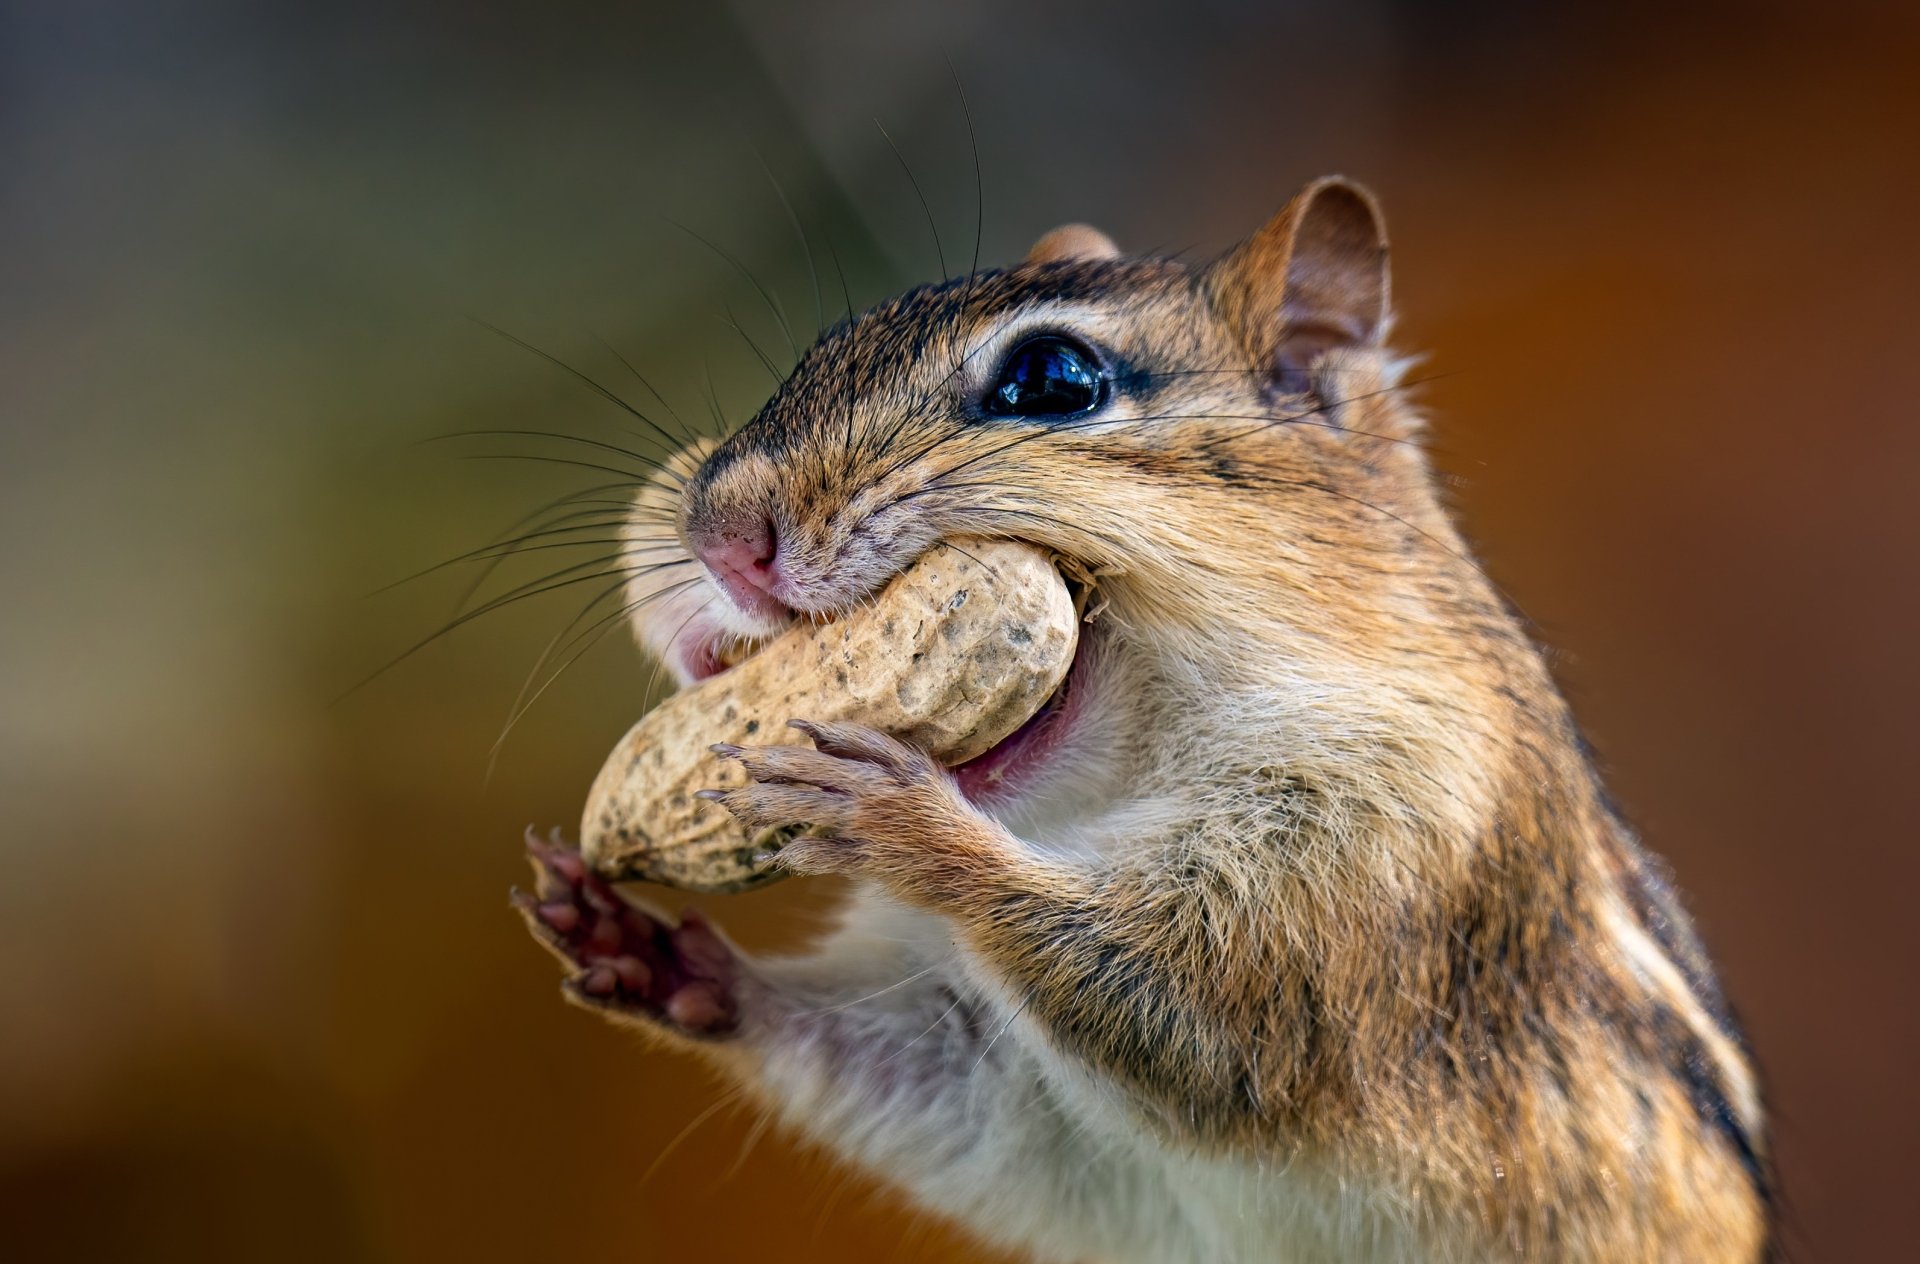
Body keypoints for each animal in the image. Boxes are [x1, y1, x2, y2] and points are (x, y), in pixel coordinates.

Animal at [514, 177, 1771, 1262]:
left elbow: (1198, 1016)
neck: (1084, 807)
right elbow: (937, 1081)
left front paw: (895, 816)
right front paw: (651, 951)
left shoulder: (1385, 843)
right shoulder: (994, 1067)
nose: (719, 535)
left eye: (1053, 378)